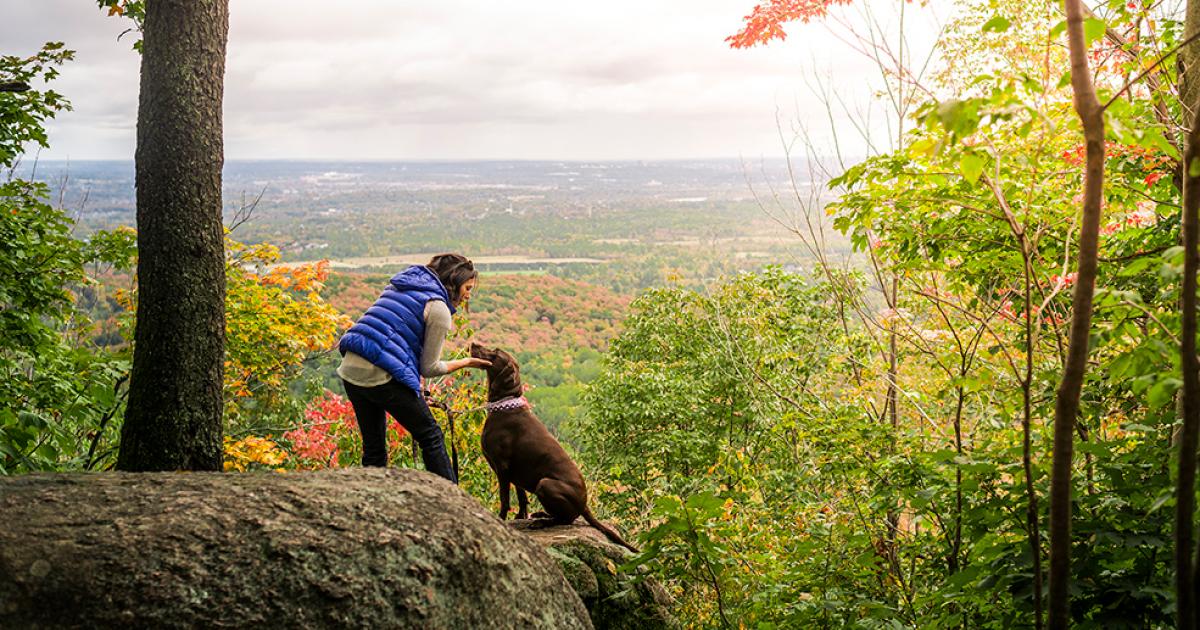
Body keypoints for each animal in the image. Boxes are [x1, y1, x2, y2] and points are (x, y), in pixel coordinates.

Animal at [465, 343, 638, 549]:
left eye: (496, 352)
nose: (473, 343)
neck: (505, 405)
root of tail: (584, 504)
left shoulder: (503, 468)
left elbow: (505, 499)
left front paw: (500, 519)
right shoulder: (515, 472)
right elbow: (522, 498)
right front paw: (520, 516)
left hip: (545, 484)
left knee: (566, 519)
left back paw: (542, 521)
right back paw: (541, 515)